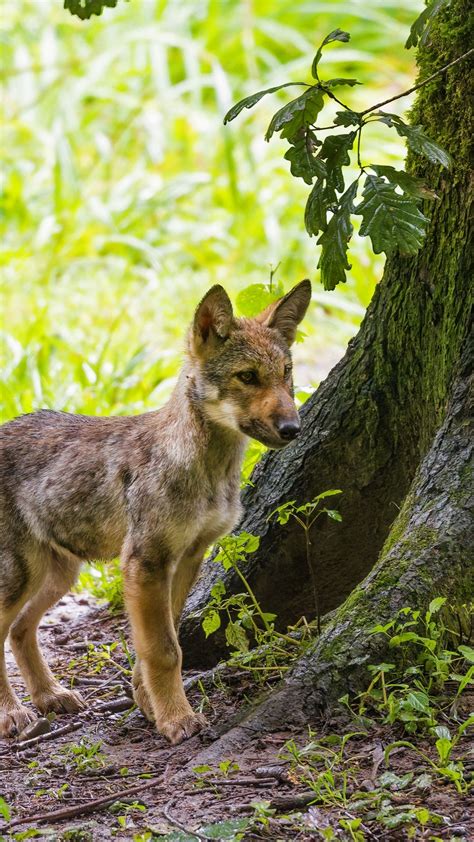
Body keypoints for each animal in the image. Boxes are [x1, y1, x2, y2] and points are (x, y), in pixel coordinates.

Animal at [0, 280, 311, 744]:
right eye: (247, 377)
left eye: (286, 373)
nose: (293, 429)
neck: (208, 471)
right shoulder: (145, 561)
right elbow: (164, 650)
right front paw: (177, 719)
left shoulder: (187, 559)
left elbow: (161, 644)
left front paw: (150, 705)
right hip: (23, 574)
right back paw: (11, 713)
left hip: (59, 572)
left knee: (21, 629)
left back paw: (49, 696)